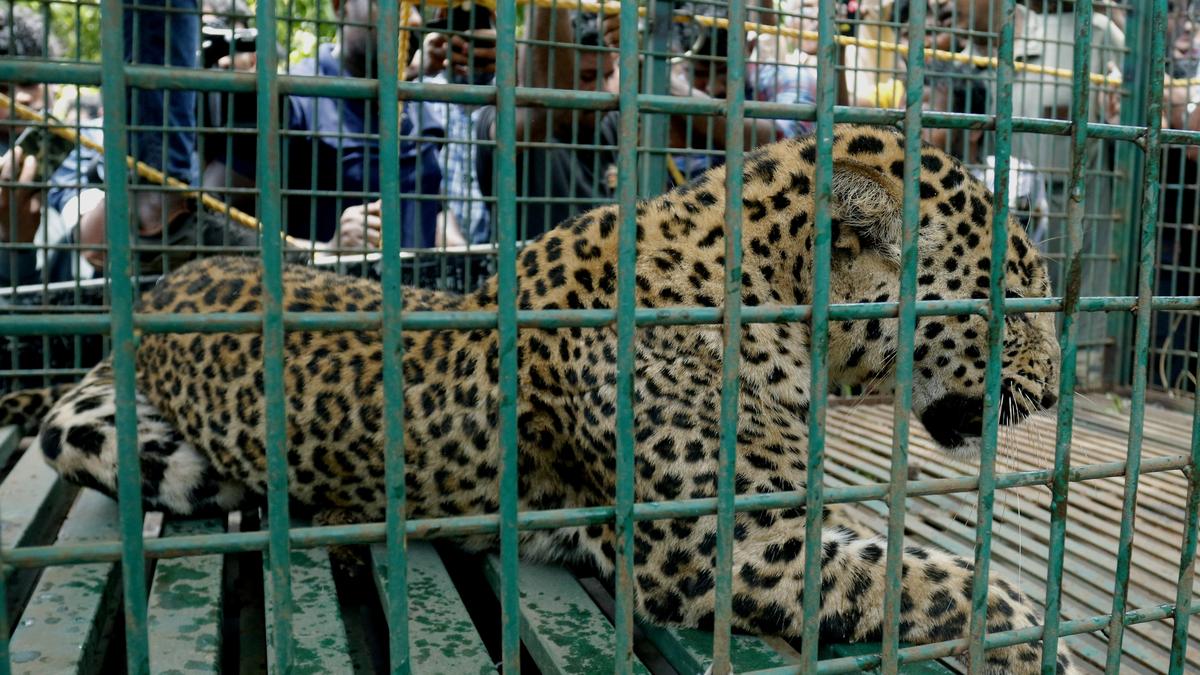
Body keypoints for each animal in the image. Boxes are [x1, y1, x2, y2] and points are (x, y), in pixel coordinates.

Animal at [0, 124, 1072, 673]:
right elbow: (938, 582)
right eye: (1020, 295)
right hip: (112, 439)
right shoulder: (728, 548)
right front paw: (1035, 639)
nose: (1061, 388)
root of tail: (163, 283)